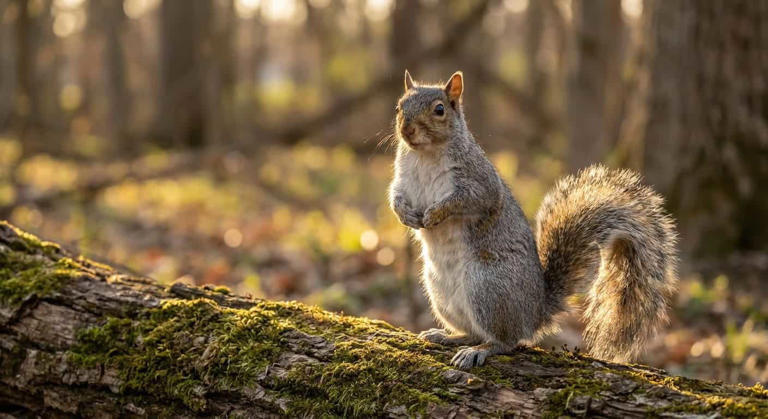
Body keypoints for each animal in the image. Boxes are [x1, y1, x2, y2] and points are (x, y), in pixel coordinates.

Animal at [388, 70, 678, 369]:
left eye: (439, 110)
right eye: (399, 106)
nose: (406, 130)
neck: (425, 154)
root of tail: (535, 312)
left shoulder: (480, 183)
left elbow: (467, 200)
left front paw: (435, 213)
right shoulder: (403, 178)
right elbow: (395, 196)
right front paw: (405, 214)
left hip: (487, 287)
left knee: (505, 340)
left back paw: (480, 350)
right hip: (441, 293)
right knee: (473, 331)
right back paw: (448, 336)